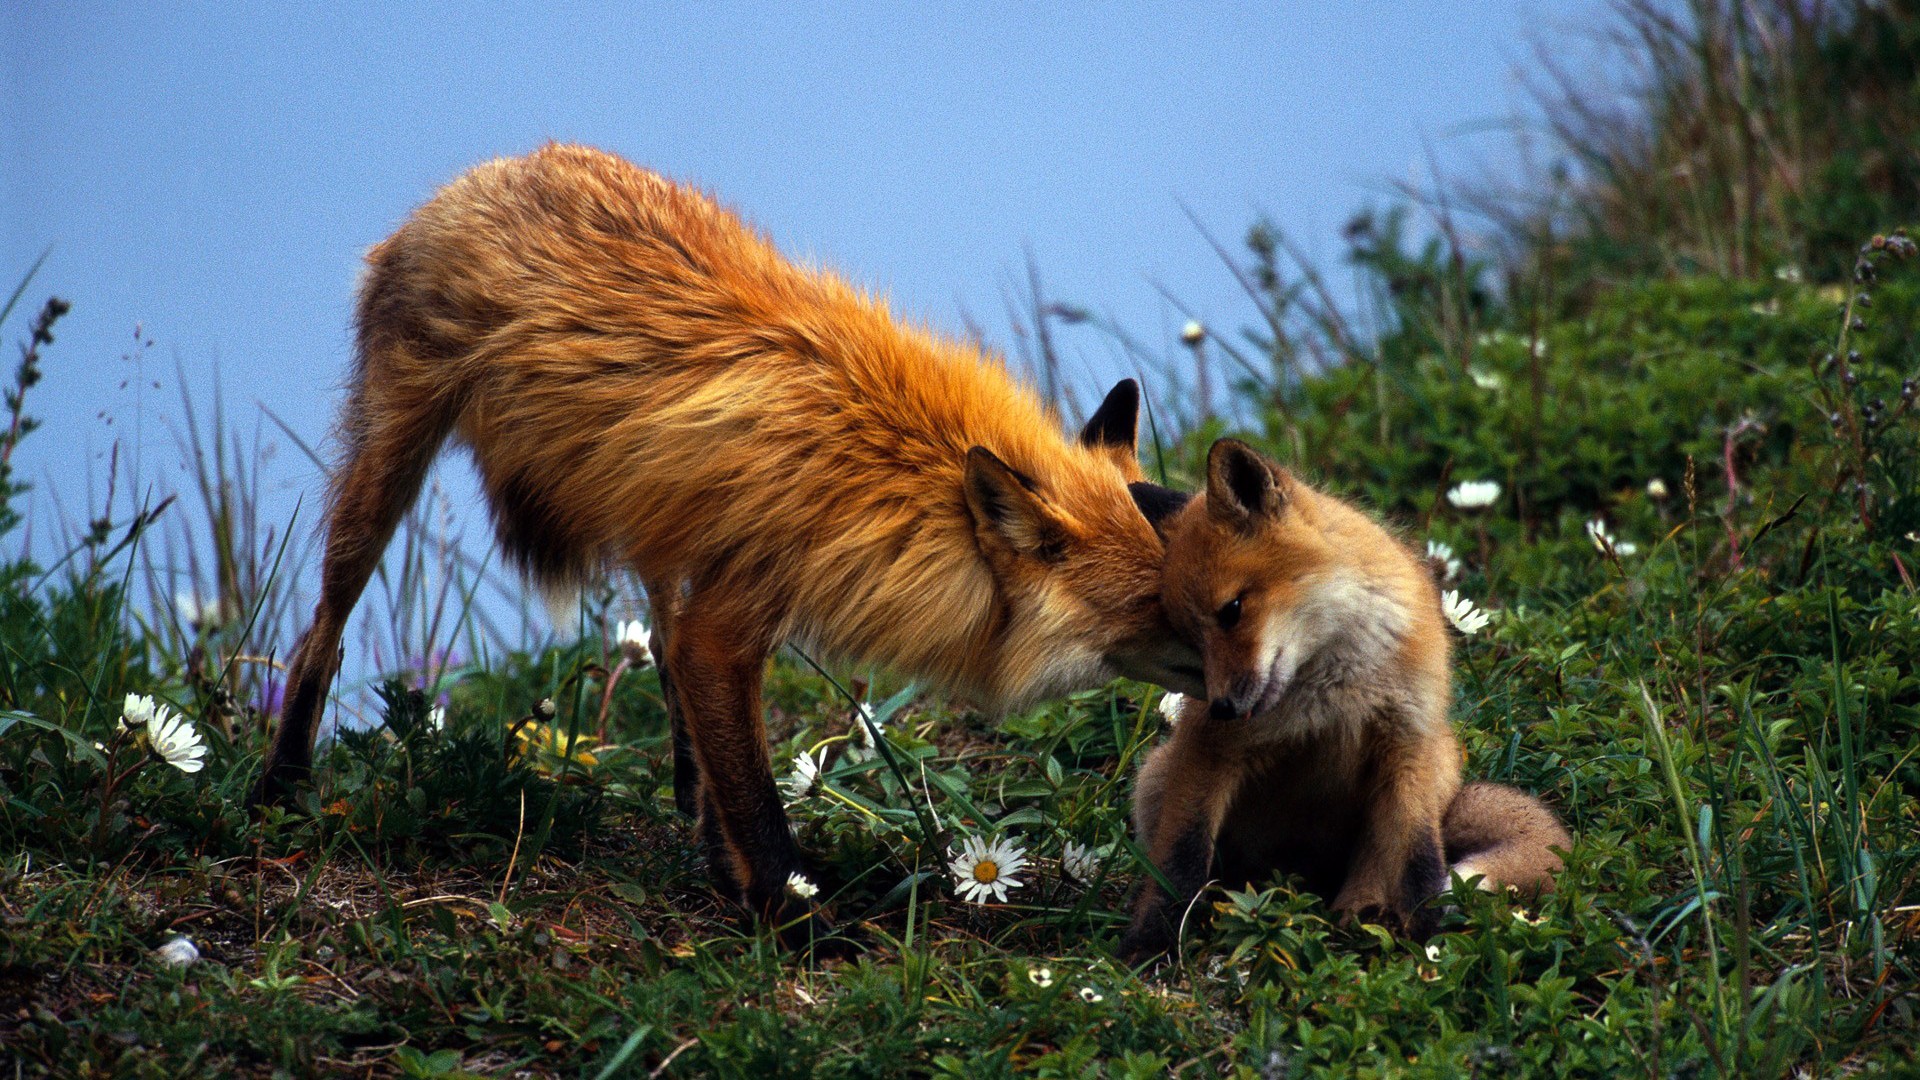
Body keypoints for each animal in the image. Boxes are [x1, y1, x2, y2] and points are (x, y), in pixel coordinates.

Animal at [251, 143, 1205, 941]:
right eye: (1158, 607)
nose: (1242, 677)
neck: (889, 471)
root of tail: (491, 169)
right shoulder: (731, 621)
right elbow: (757, 805)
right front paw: (797, 923)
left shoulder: (724, 595)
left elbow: (722, 746)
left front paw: (733, 870)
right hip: (388, 468)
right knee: (320, 635)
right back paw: (281, 790)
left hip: (658, 526)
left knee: (663, 658)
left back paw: (687, 798)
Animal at [1119, 439, 1569, 960]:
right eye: (1190, 639)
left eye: (1231, 611)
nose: (1222, 708)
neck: (1333, 684)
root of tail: (1302, 876)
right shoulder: (1208, 751)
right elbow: (1180, 859)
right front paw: (1149, 941)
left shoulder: (1408, 741)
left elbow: (1419, 861)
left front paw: (1426, 934)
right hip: (1157, 778)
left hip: (1433, 768)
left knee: (1379, 864)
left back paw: (1361, 918)